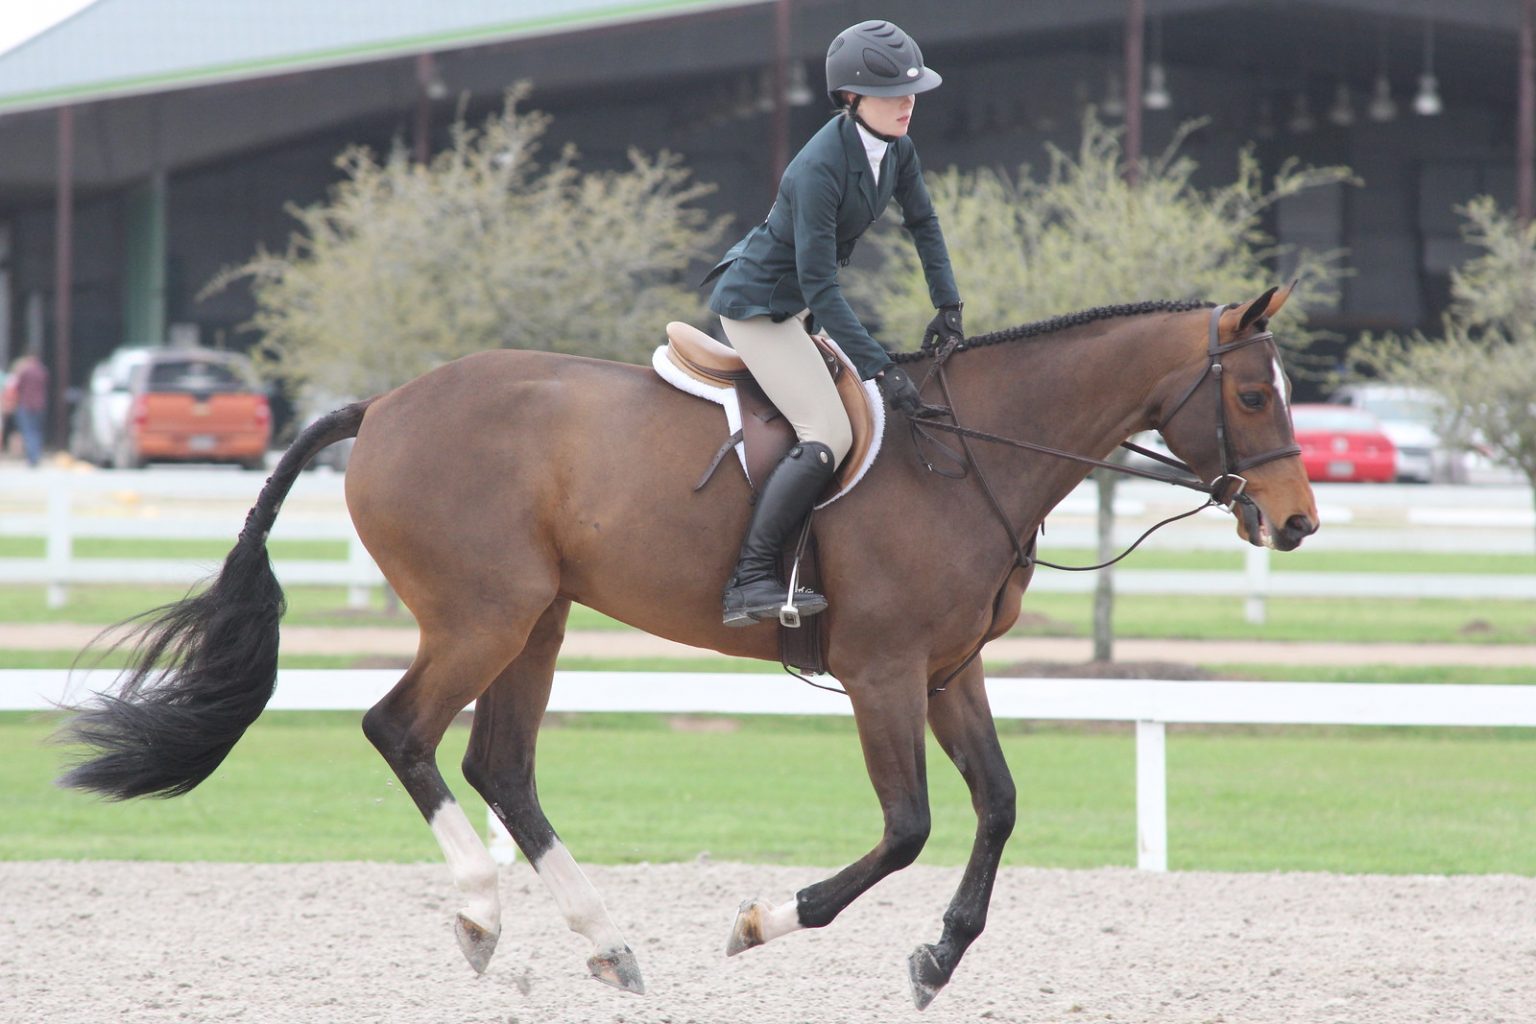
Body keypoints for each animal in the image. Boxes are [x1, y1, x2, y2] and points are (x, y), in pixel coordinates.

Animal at [58, 286, 1318, 1010]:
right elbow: (907, 827)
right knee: (400, 729)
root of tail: (386, 403)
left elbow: (999, 807)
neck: (972, 451)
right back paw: (482, 915)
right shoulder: (882, 672)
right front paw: (764, 923)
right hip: (483, 614)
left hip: (540, 620)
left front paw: (939, 958)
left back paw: (608, 946)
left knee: (499, 764)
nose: (1298, 522)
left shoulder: (947, 670)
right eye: (1255, 396)